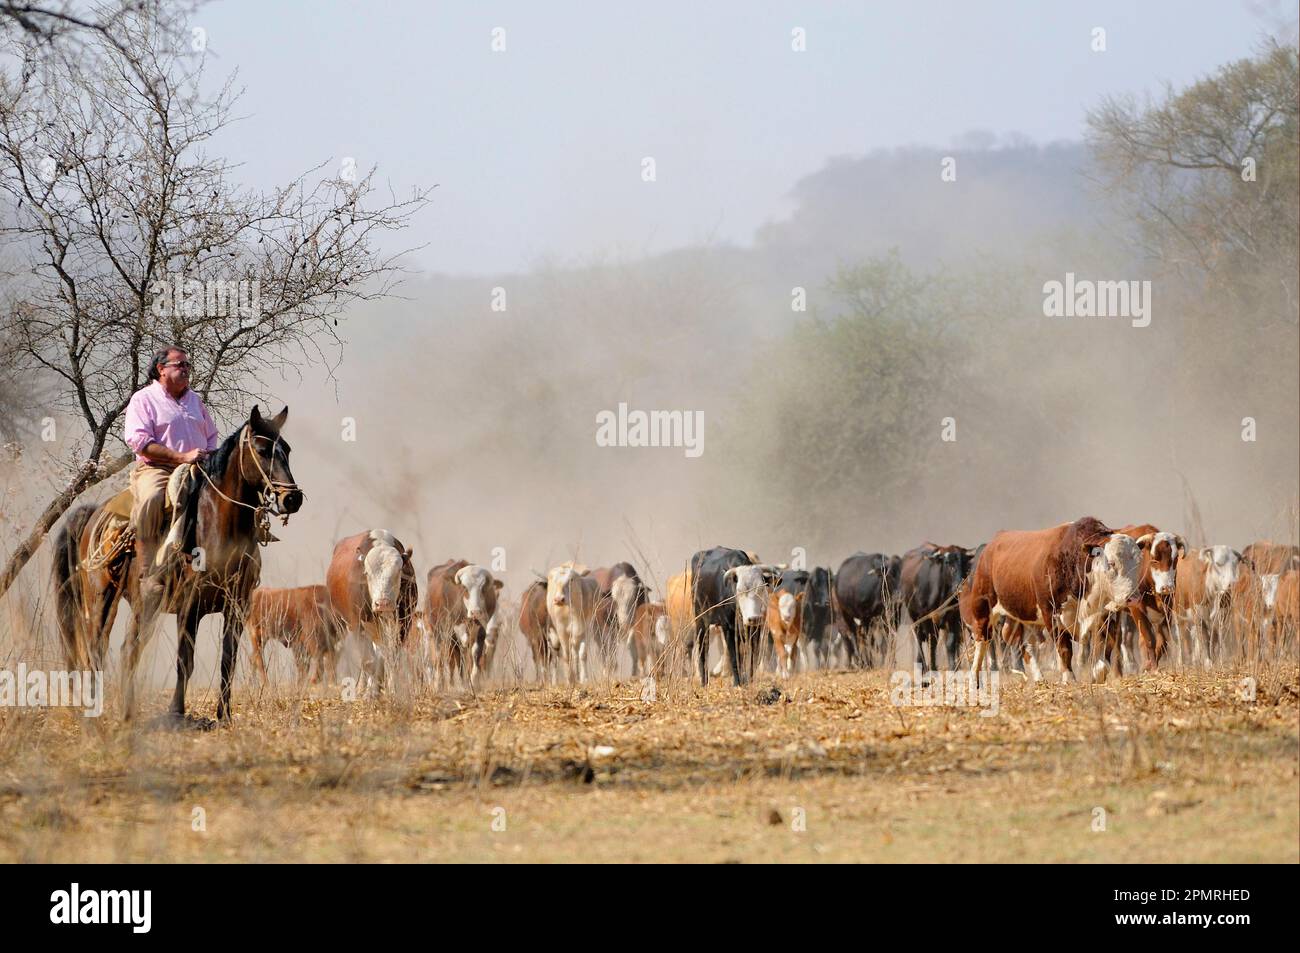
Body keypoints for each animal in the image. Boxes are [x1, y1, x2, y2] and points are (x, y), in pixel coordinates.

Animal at [325, 529, 418, 697]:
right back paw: (363, 687)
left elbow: (392, 657)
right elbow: (368, 660)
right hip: (342, 621)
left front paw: (392, 689)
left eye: (399, 571)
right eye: (367, 573)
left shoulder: (404, 623)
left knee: (381, 653)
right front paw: (369, 692)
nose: (383, 603)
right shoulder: (357, 624)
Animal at [424, 559, 504, 690]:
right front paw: (462, 684)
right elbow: (457, 657)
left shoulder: (481, 629)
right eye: (465, 588)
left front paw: (474, 680)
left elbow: (475, 653)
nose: (475, 612)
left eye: (482, 588)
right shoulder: (452, 631)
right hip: (436, 631)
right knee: (441, 655)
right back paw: (440, 683)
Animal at [689, 547, 779, 686]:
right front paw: (737, 683)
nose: (753, 618)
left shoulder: (755, 629)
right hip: (700, 619)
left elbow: (752, 657)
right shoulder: (728, 628)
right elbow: (734, 657)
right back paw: (704, 682)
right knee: (703, 649)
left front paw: (749, 681)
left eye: (761, 589)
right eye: (740, 591)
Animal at [900, 544, 975, 675]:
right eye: (947, 562)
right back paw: (922, 665)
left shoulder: (953, 617)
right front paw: (933, 668)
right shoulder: (927, 617)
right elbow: (933, 642)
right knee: (919, 639)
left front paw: (953, 668)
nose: (959, 586)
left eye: (965, 562)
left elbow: (950, 643)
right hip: (914, 617)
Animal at [960, 517, 1143, 685]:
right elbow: (1064, 649)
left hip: (1026, 617)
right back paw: (974, 678)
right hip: (983, 607)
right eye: (1111, 563)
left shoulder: (1104, 616)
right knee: (982, 641)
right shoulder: (1052, 615)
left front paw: (1096, 675)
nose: (1132, 597)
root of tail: (992, 544)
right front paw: (1069, 678)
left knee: (1025, 645)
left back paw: (1039, 678)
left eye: (1139, 562)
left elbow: (1102, 653)